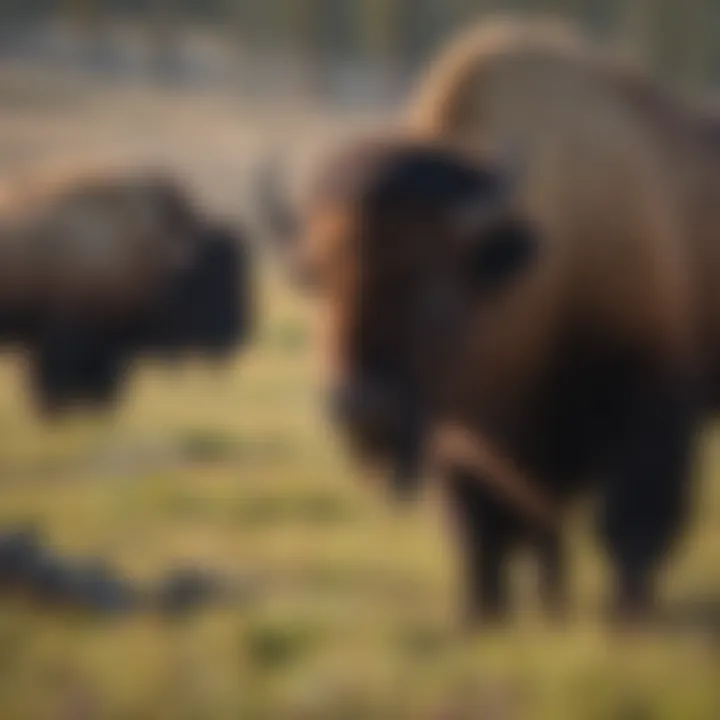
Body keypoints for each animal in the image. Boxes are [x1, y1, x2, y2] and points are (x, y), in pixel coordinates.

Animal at [258, 15, 720, 624]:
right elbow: (486, 534)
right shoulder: (466, 446)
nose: (362, 412)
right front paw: (485, 615)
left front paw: (627, 617)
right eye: (320, 285)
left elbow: (631, 525)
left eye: (434, 291)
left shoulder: (652, 405)